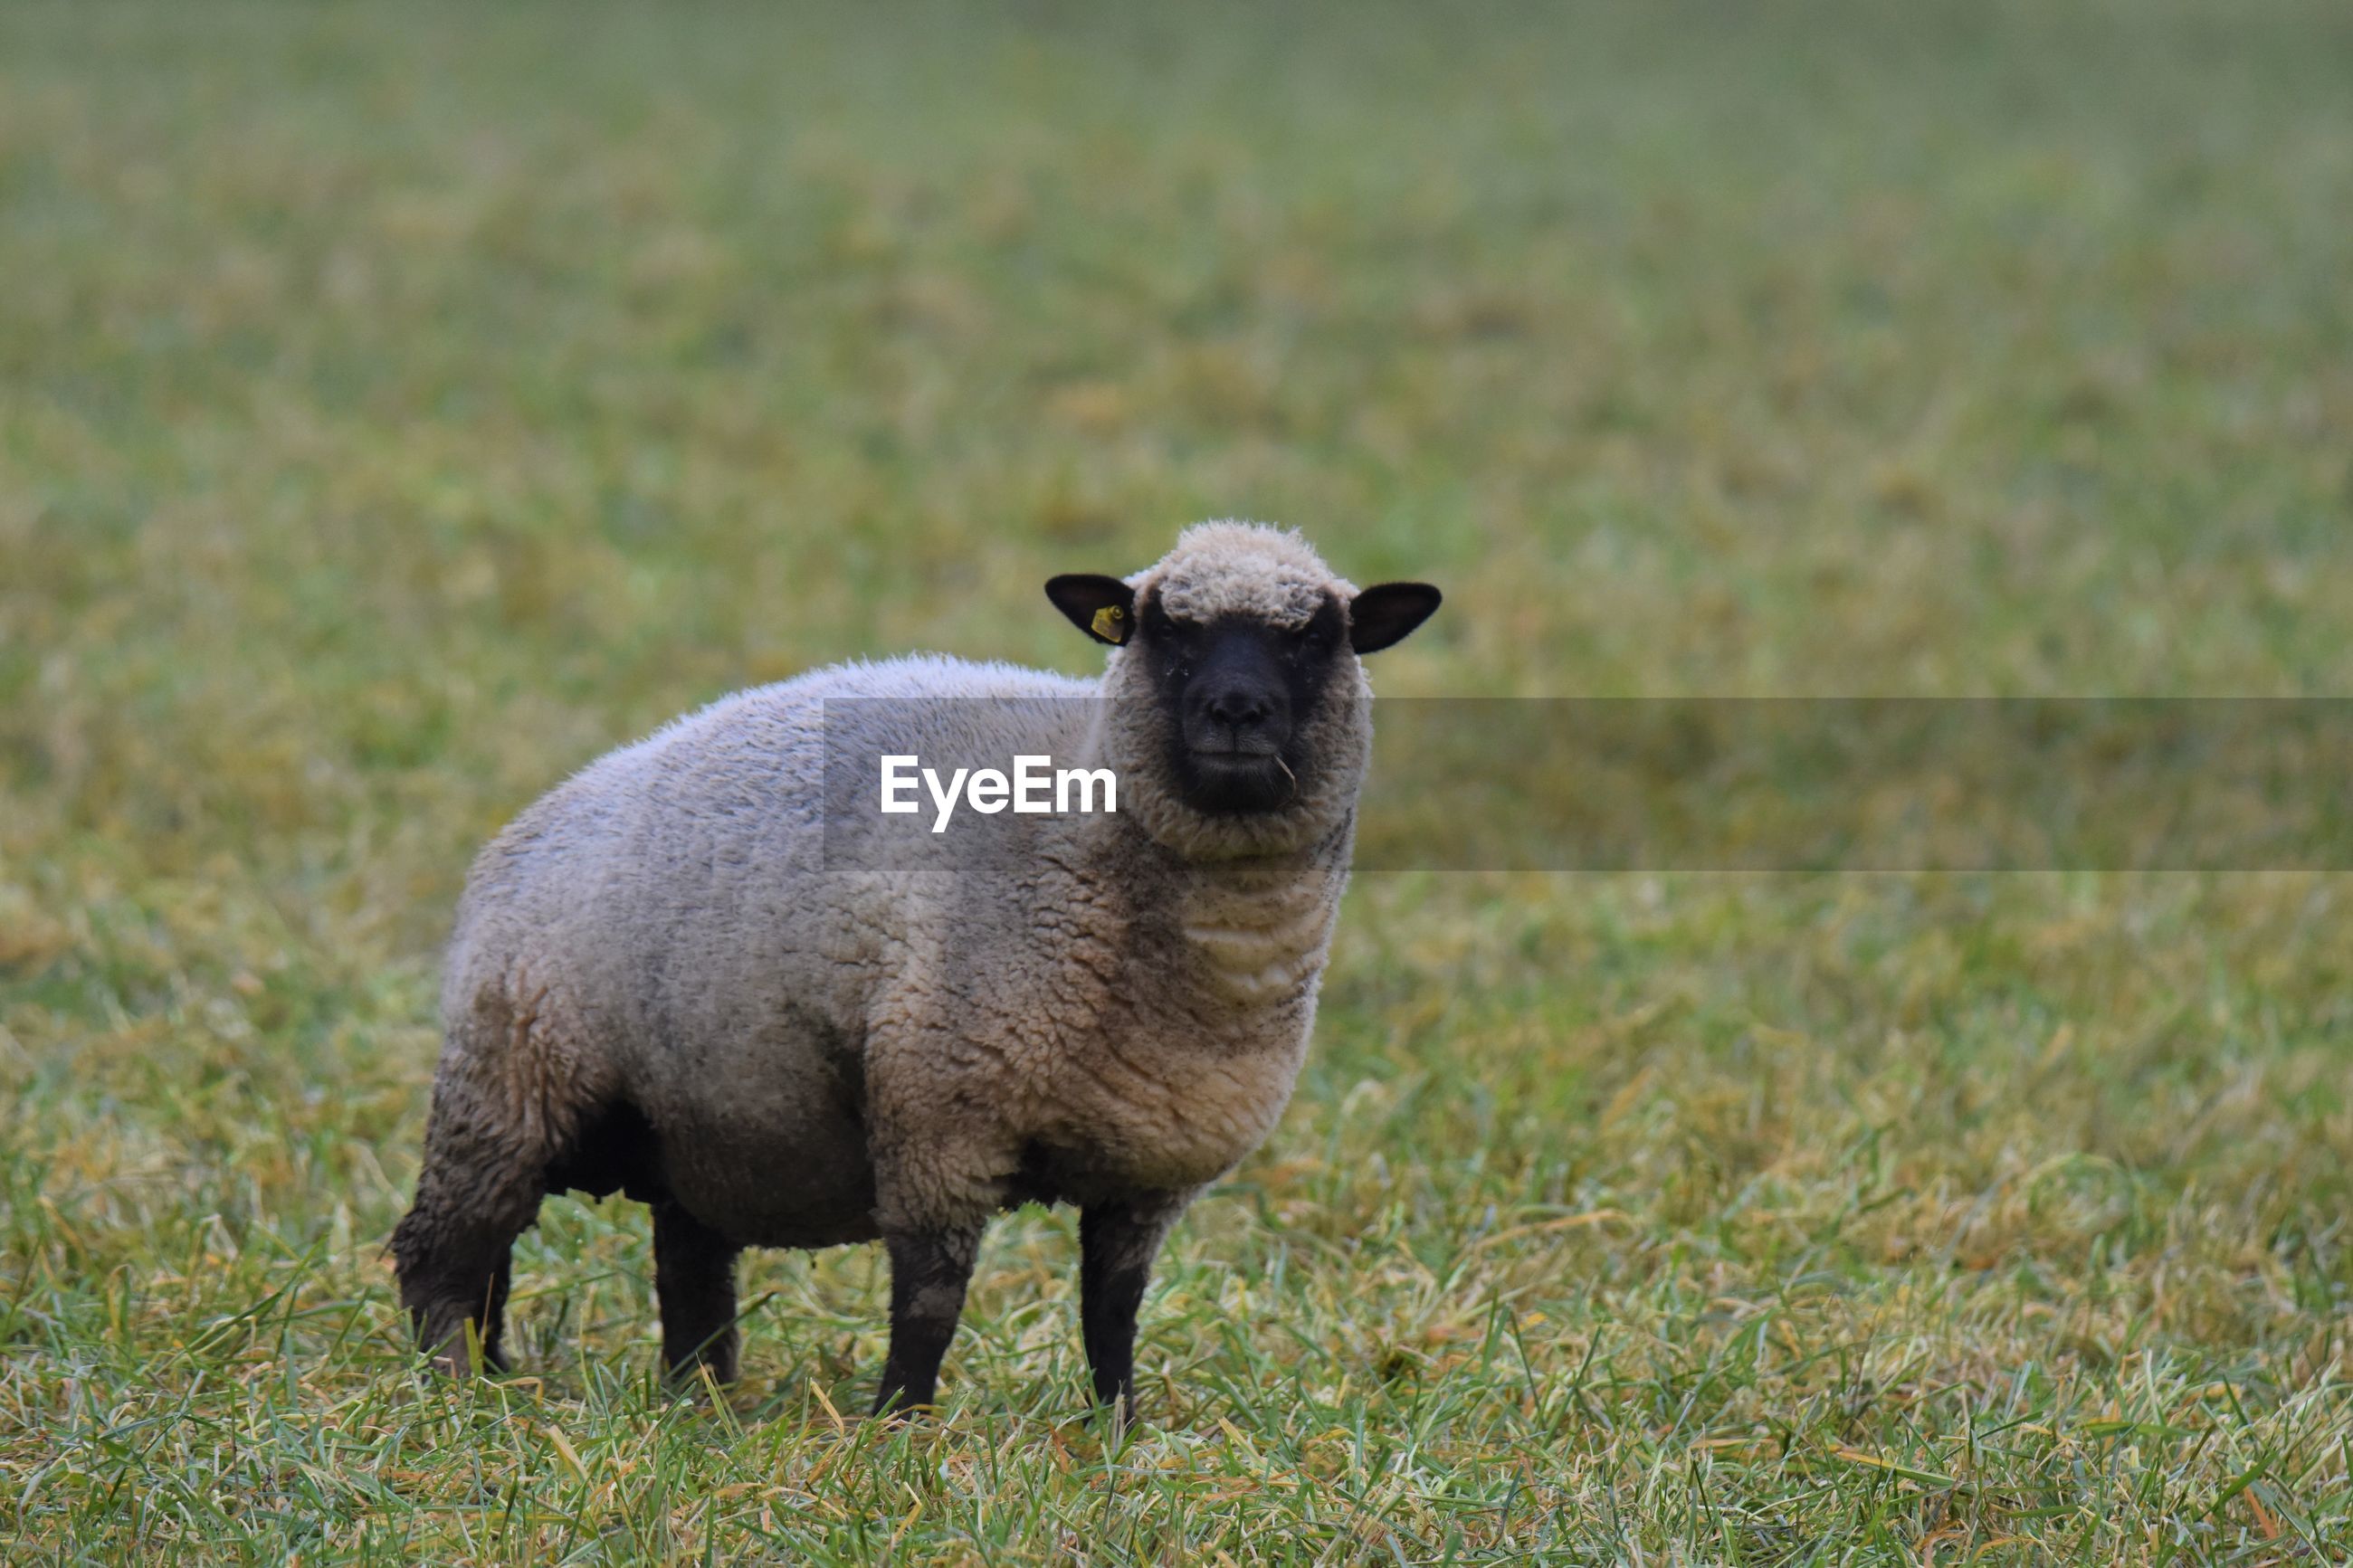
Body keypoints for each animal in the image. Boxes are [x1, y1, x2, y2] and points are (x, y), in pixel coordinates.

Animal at [390, 521, 1441, 1418]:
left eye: (1319, 635)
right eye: (1162, 628)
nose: (1235, 709)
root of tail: (529, 828)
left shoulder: (1149, 1167)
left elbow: (1112, 1308)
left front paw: (1117, 1428)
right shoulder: (942, 1112)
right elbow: (931, 1298)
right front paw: (899, 1424)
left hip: (694, 1121)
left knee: (681, 1276)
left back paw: (687, 1401)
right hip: (512, 1076)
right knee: (445, 1253)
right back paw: (457, 1392)